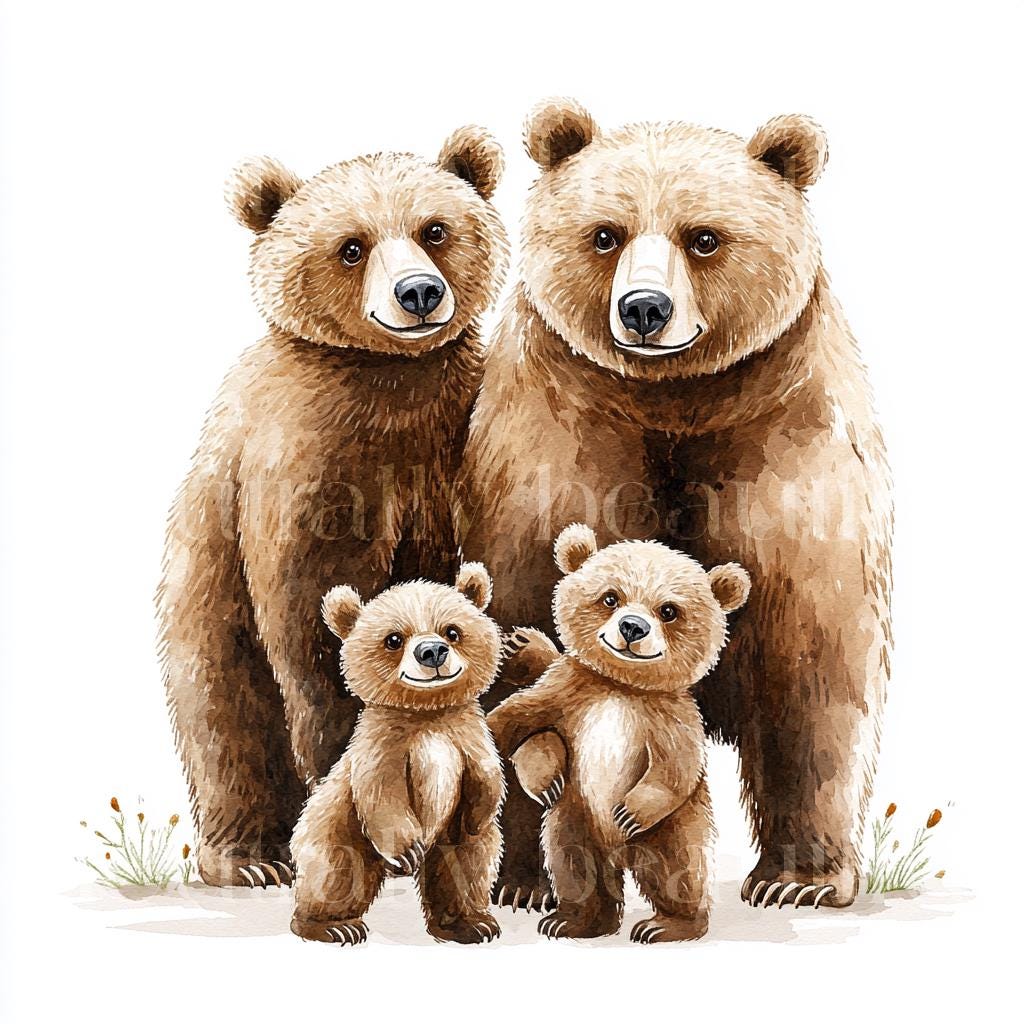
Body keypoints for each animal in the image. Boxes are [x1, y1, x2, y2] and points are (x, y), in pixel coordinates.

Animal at [157, 126, 509, 888]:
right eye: (352, 245)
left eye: (434, 229)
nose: (418, 292)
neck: (394, 386)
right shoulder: (308, 461)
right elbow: (313, 620)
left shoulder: (450, 443)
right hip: (205, 604)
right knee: (223, 717)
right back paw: (249, 855)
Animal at [290, 564, 504, 945]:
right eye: (393, 638)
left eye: (452, 631)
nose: (432, 651)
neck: (427, 714)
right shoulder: (382, 745)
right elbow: (381, 791)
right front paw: (407, 848)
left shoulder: (465, 736)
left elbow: (487, 775)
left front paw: (477, 816)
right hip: (339, 826)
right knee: (335, 872)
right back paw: (331, 925)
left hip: (448, 844)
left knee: (466, 868)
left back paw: (470, 923)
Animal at [487, 524, 751, 942]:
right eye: (611, 597)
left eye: (668, 610)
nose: (632, 627)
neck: (620, 687)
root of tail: (620, 854)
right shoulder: (568, 693)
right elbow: (514, 720)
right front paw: (543, 778)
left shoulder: (668, 716)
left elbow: (677, 766)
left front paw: (631, 811)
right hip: (576, 818)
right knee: (574, 866)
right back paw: (575, 920)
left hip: (672, 828)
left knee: (681, 870)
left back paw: (668, 924)